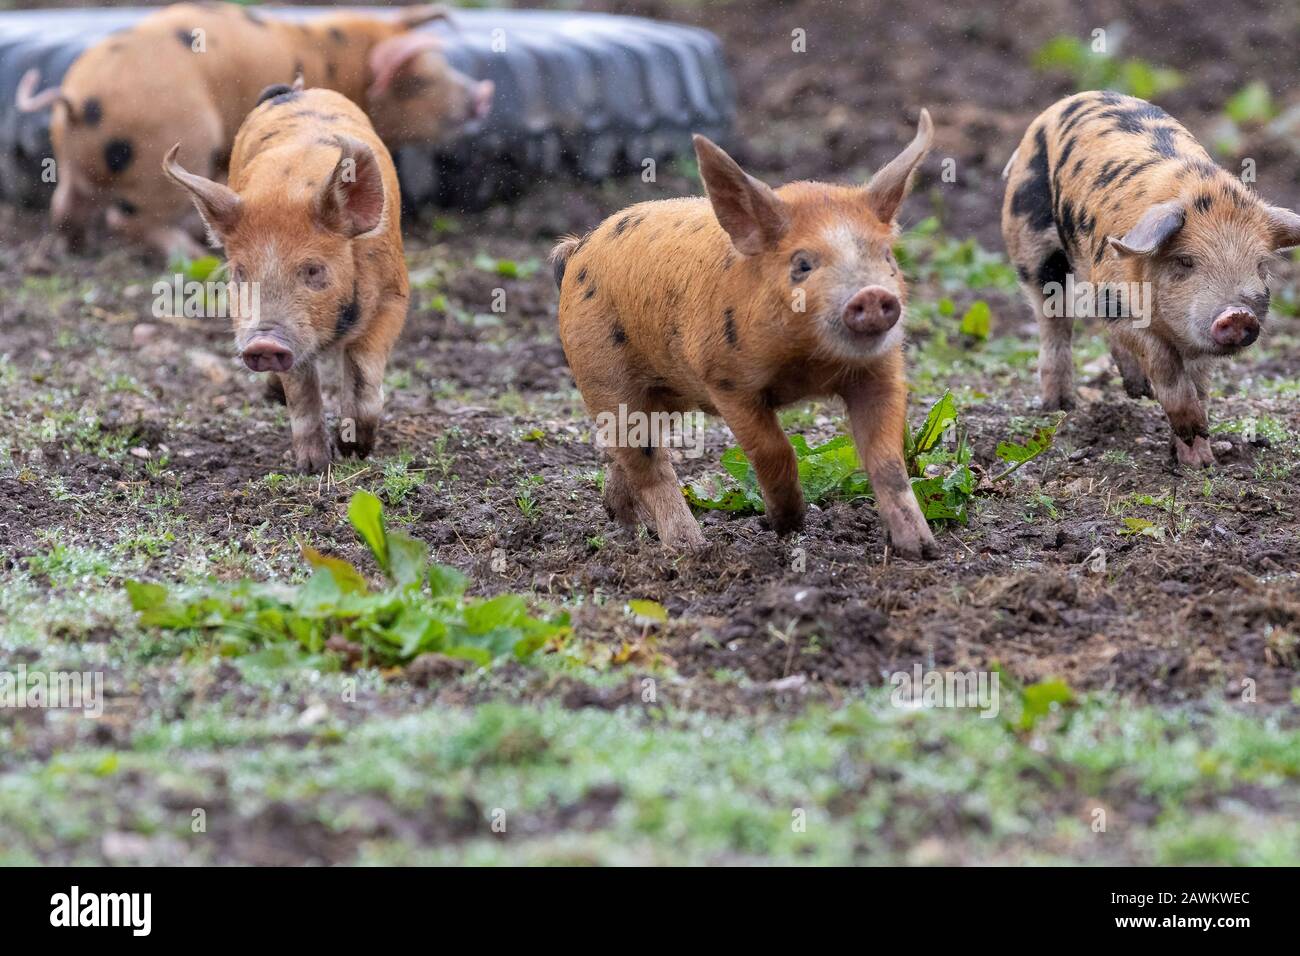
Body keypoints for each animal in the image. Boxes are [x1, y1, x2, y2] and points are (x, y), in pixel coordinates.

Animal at [17, 1, 492, 258]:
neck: (338, 62)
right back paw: (189, 252)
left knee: (65, 204)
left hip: (74, 165)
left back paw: (71, 248)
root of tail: (77, 100)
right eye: (420, 81)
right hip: (179, 144)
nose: (484, 94)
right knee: (125, 219)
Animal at [161, 84, 408, 473]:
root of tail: (296, 89)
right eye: (240, 273)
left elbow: (363, 367)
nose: (264, 342)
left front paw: (356, 449)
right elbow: (302, 390)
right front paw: (313, 467)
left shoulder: (393, 297)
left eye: (314, 270)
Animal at [553, 112, 939, 559]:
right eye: (802, 264)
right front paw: (787, 525)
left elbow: (888, 461)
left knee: (625, 457)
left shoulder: (880, 372)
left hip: (665, 390)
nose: (872, 295)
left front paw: (922, 549)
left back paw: (626, 526)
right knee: (648, 461)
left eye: (886, 256)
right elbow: (773, 448)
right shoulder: (726, 381)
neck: (809, 366)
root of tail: (578, 248)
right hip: (603, 373)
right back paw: (690, 547)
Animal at [1002, 90, 1300, 467]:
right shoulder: (1117, 306)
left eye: (1260, 265)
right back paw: (1059, 406)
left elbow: (1199, 385)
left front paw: (1200, 460)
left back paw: (1137, 392)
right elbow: (1165, 365)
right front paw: (1192, 437)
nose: (1237, 314)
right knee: (1053, 319)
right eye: (1185, 261)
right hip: (1031, 239)